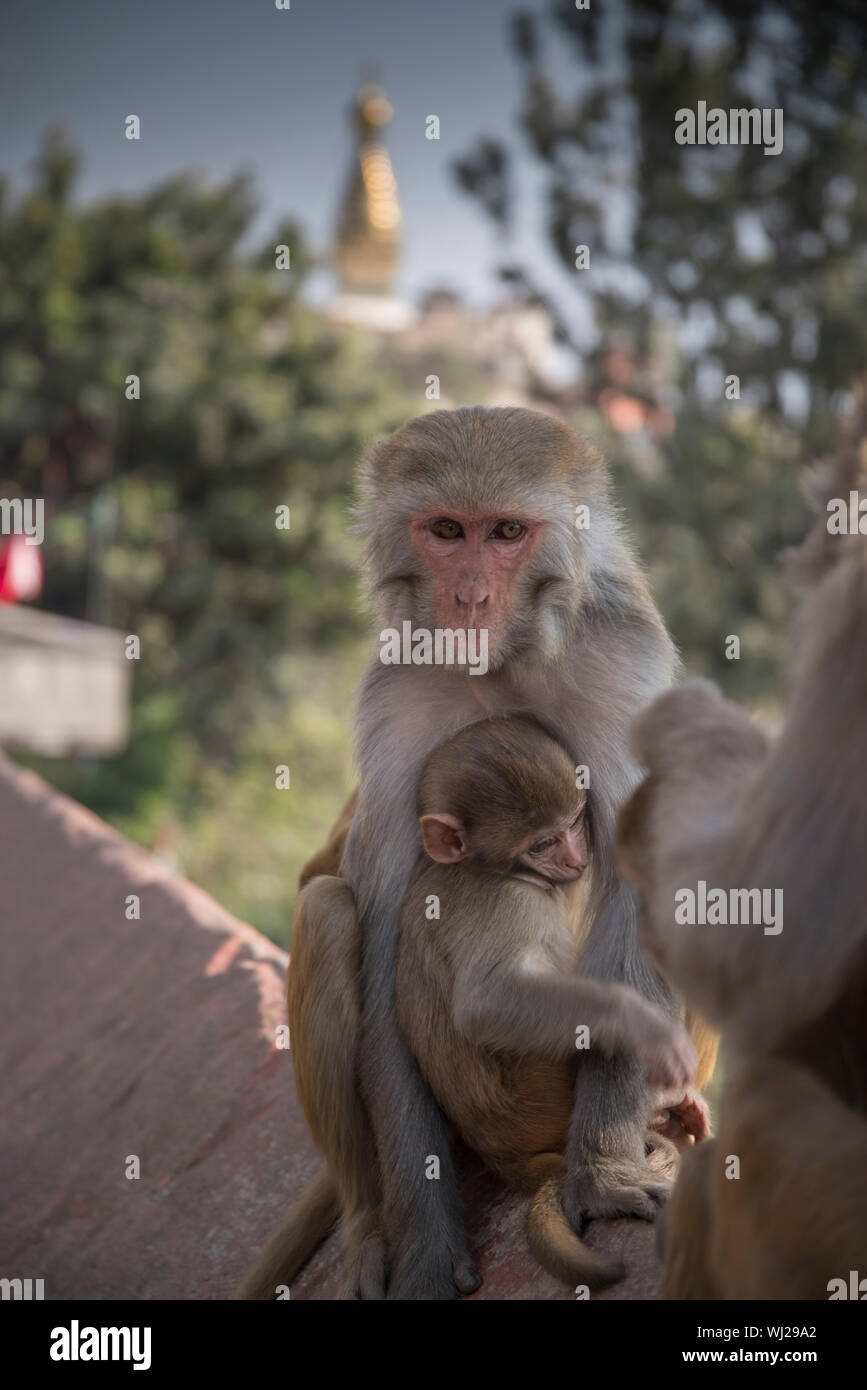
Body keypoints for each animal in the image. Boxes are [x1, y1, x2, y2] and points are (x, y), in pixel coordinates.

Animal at [396, 714, 702, 1290]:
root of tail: (506, 1158)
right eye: (541, 844)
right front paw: (642, 1025)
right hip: (544, 1095)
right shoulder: (512, 900)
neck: (486, 868)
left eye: (576, 822)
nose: (577, 858)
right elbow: (488, 1000)